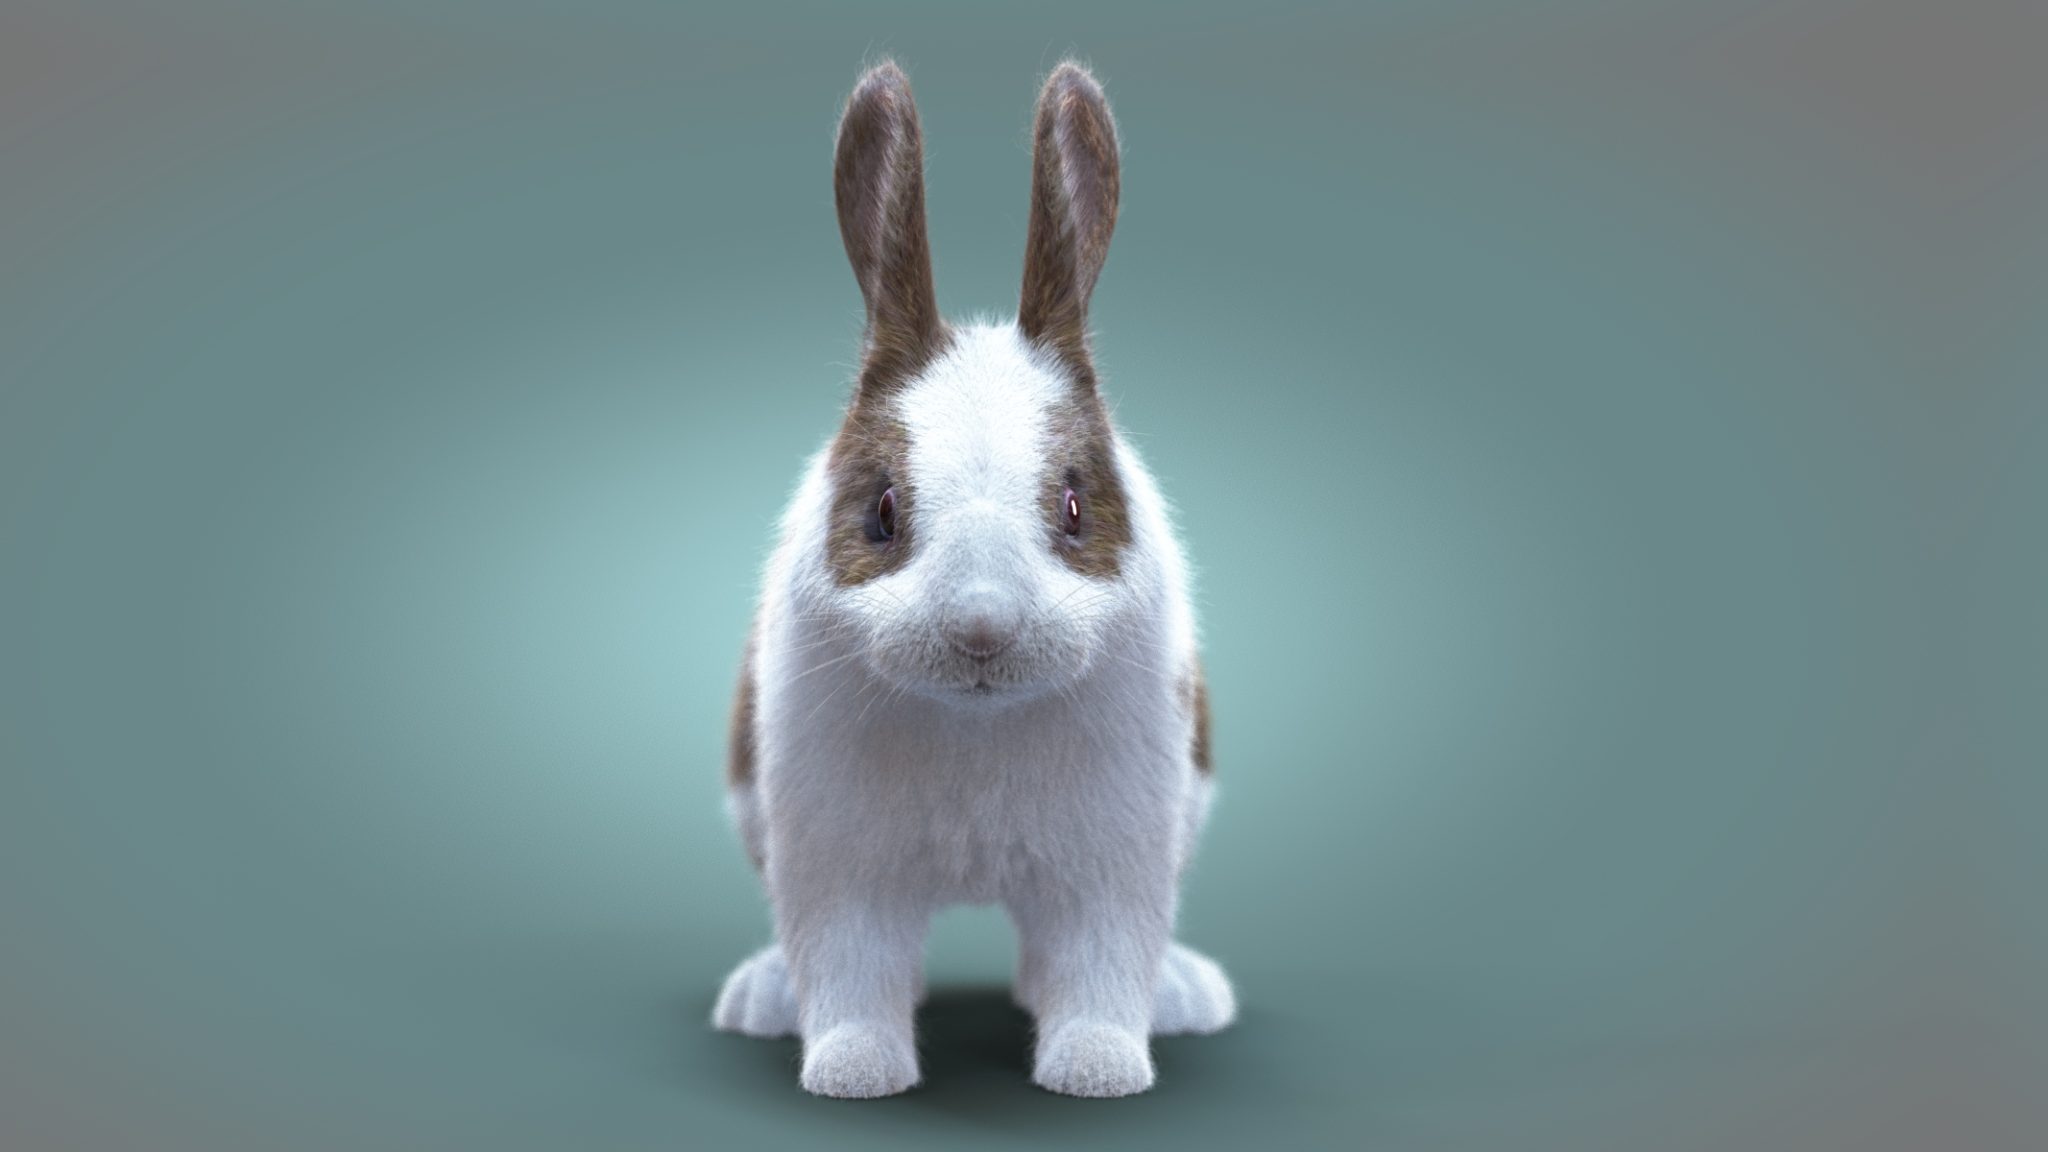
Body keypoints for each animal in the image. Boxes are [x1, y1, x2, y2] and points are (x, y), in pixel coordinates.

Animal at [711, 59, 1234, 1099]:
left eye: (1073, 504)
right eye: (882, 510)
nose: (983, 629)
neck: (976, 725)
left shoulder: (1114, 858)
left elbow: (1102, 964)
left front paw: (1098, 1068)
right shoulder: (834, 859)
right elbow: (850, 966)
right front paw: (855, 1070)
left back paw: (1183, 996)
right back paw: (764, 999)